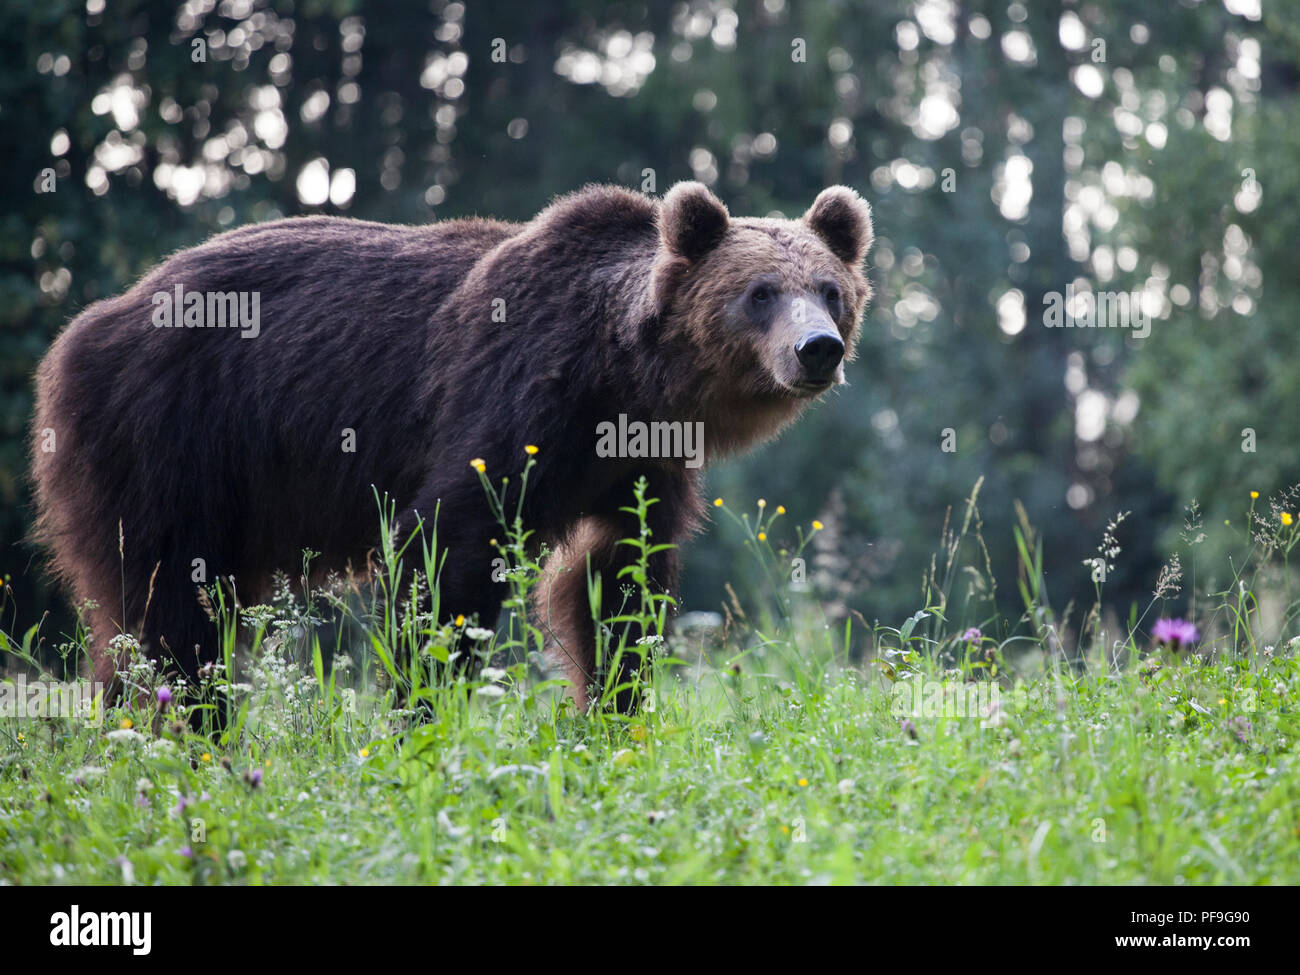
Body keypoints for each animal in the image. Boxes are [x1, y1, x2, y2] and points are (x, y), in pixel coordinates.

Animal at [30, 181, 873, 712]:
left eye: (830, 289)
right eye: (760, 292)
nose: (818, 349)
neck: (626, 375)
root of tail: (90, 322)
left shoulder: (640, 462)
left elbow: (617, 581)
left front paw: (614, 709)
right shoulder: (514, 401)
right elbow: (447, 551)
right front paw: (422, 711)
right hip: (169, 436)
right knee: (168, 601)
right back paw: (185, 725)